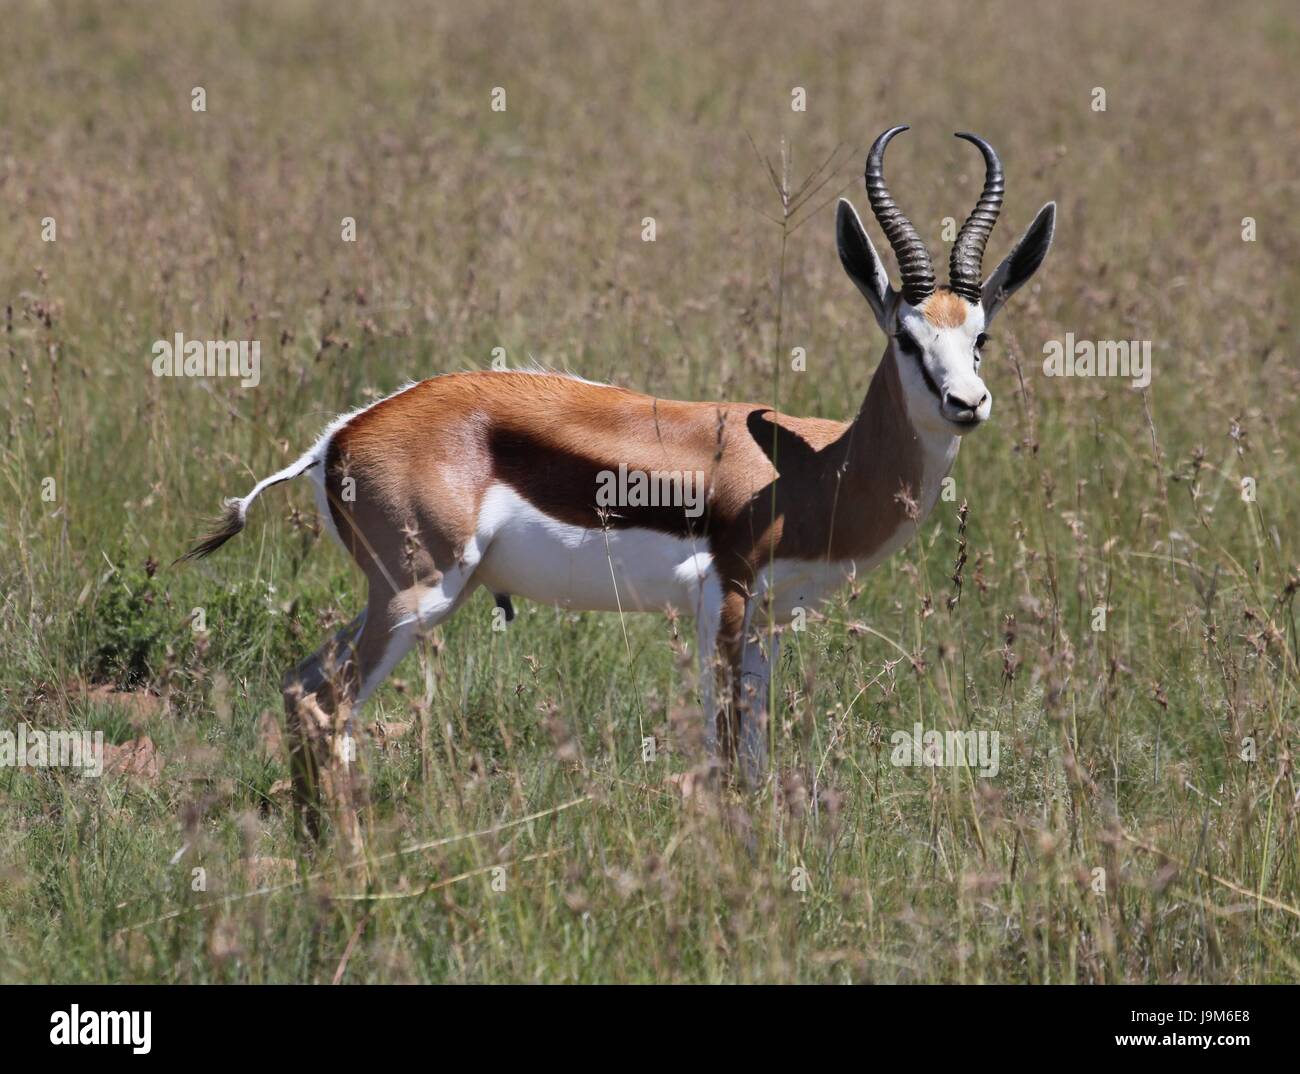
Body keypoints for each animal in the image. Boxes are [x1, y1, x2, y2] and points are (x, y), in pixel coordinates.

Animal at [184, 126, 1055, 844]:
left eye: (980, 336)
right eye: (907, 337)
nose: (967, 404)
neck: (812, 464)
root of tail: (340, 435)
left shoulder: (772, 619)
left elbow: (755, 750)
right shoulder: (725, 598)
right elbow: (723, 752)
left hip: (406, 596)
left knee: (300, 687)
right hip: (417, 593)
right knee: (325, 702)